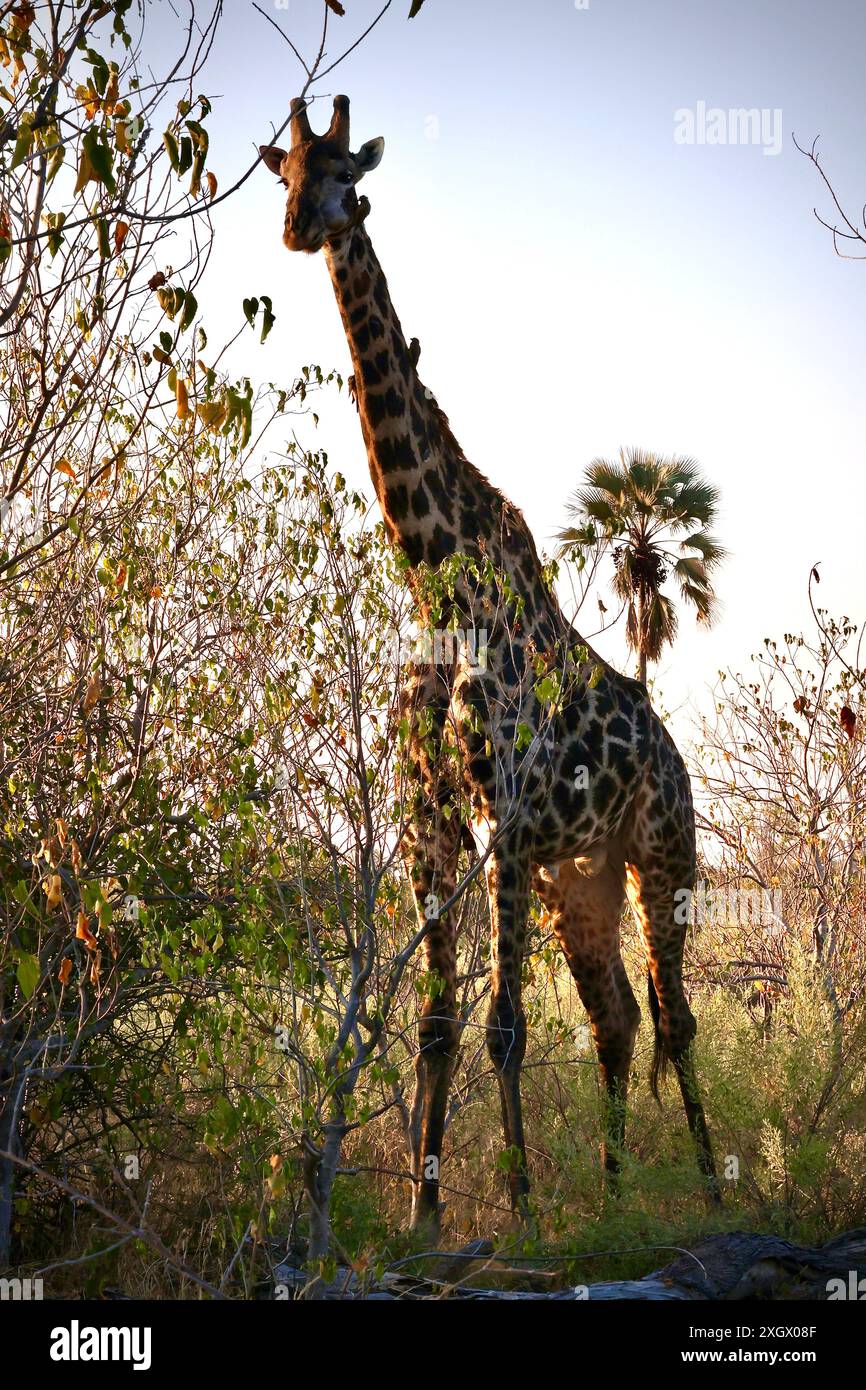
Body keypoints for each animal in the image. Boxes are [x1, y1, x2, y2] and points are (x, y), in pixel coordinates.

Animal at [260, 96, 719, 1232]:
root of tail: (677, 758)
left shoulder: (502, 812)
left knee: (676, 1013)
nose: (299, 226)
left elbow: (506, 1022)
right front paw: (426, 1218)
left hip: (660, 856)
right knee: (617, 1015)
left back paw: (704, 1186)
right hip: (579, 879)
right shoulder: (431, 819)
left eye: (344, 168)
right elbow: (438, 1023)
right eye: (282, 170)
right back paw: (613, 1196)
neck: (433, 580)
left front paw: (515, 1209)